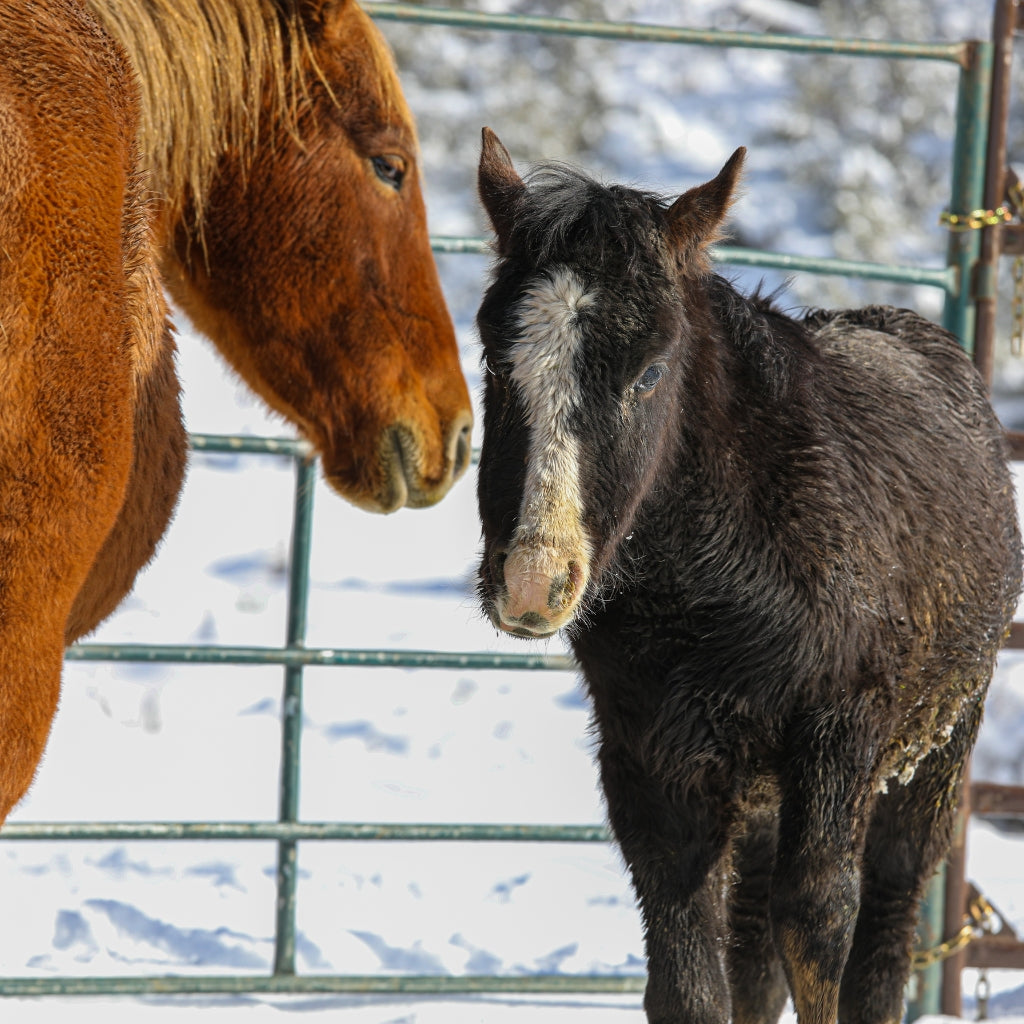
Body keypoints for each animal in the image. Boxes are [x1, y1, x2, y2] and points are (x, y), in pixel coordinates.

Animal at [474, 128, 1022, 1024]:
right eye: (491, 356)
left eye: (649, 371)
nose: (531, 582)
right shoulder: (648, 759)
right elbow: (690, 983)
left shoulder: (841, 737)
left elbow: (821, 929)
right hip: (760, 794)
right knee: (755, 947)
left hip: (938, 749)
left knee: (883, 932)